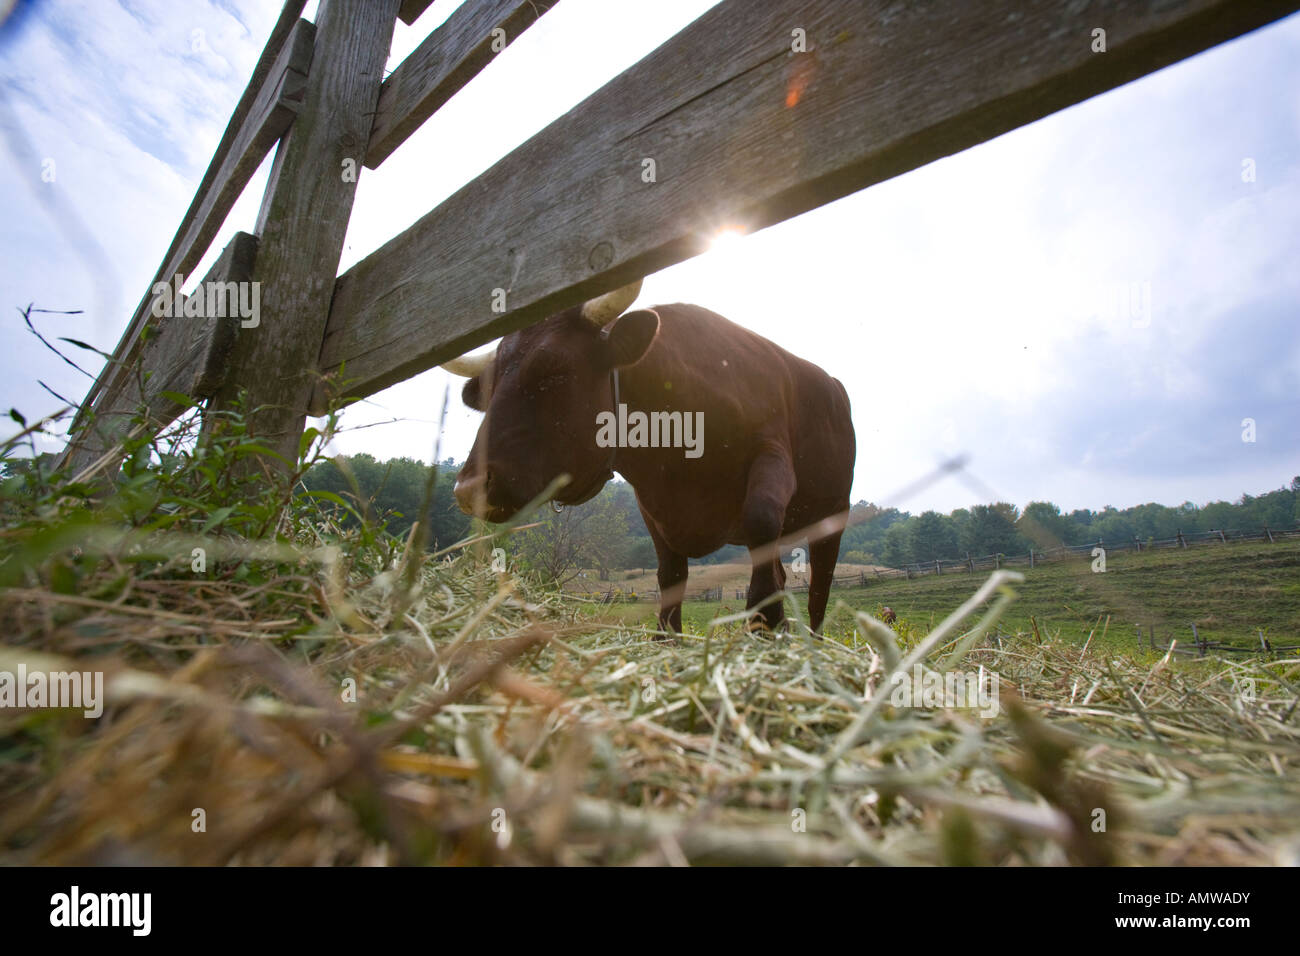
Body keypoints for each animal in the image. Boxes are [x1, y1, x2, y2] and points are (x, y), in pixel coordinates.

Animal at [443, 278, 855, 636]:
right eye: (487, 392)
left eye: (554, 370)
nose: (468, 487)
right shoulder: (654, 508)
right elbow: (670, 576)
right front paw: (668, 638)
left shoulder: (771, 456)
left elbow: (760, 521)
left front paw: (767, 623)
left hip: (834, 512)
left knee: (819, 589)